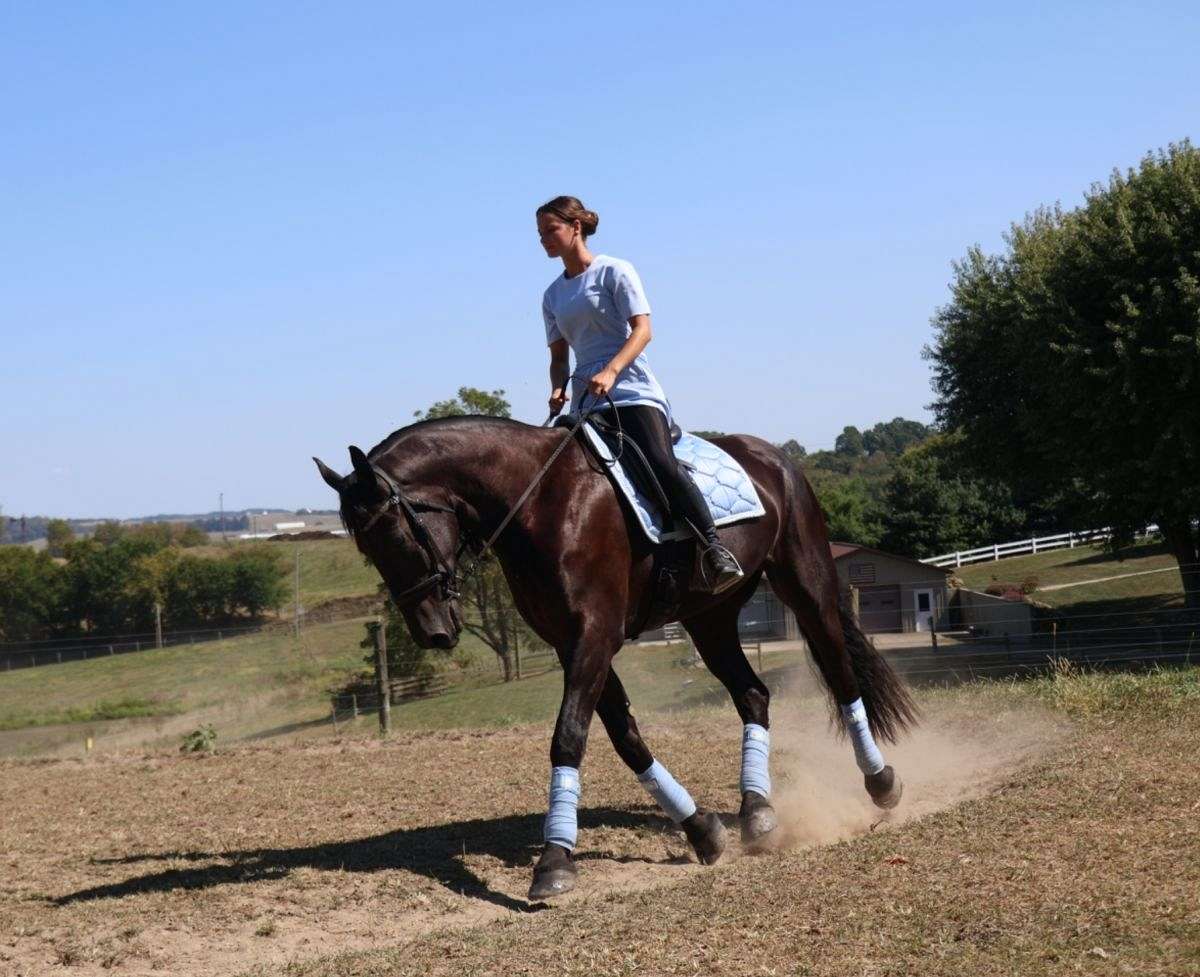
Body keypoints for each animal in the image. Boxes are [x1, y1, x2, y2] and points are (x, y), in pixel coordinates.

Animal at [314, 415, 917, 900]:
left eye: (397, 535)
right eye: (366, 549)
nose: (433, 633)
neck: (539, 501)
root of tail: (776, 457)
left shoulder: (595, 634)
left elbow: (569, 736)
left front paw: (554, 860)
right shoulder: (571, 642)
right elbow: (624, 737)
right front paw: (701, 830)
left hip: (806, 585)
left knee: (840, 675)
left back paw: (881, 781)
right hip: (710, 617)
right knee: (752, 694)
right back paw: (757, 811)